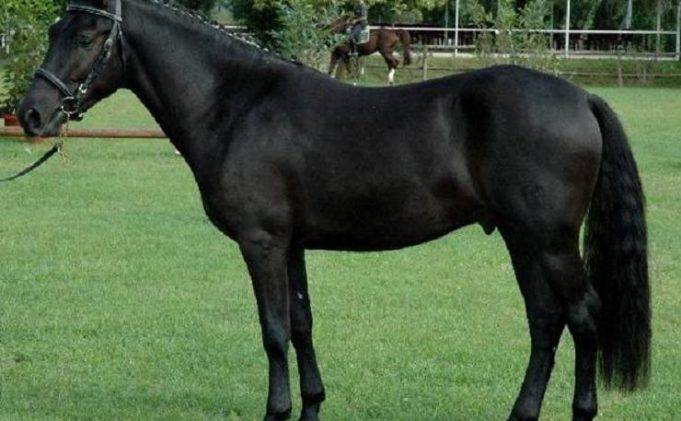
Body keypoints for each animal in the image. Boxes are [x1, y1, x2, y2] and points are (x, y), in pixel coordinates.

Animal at [18, 1, 651, 420]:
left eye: (87, 36)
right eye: (53, 29)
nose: (31, 114)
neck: (237, 104)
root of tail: (579, 96)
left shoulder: (262, 243)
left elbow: (274, 331)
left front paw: (276, 411)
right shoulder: (292, 244)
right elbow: (301, 326)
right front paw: (310, 406)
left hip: (550, 241)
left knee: (584, 315)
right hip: (523, 240)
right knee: (546, 322)